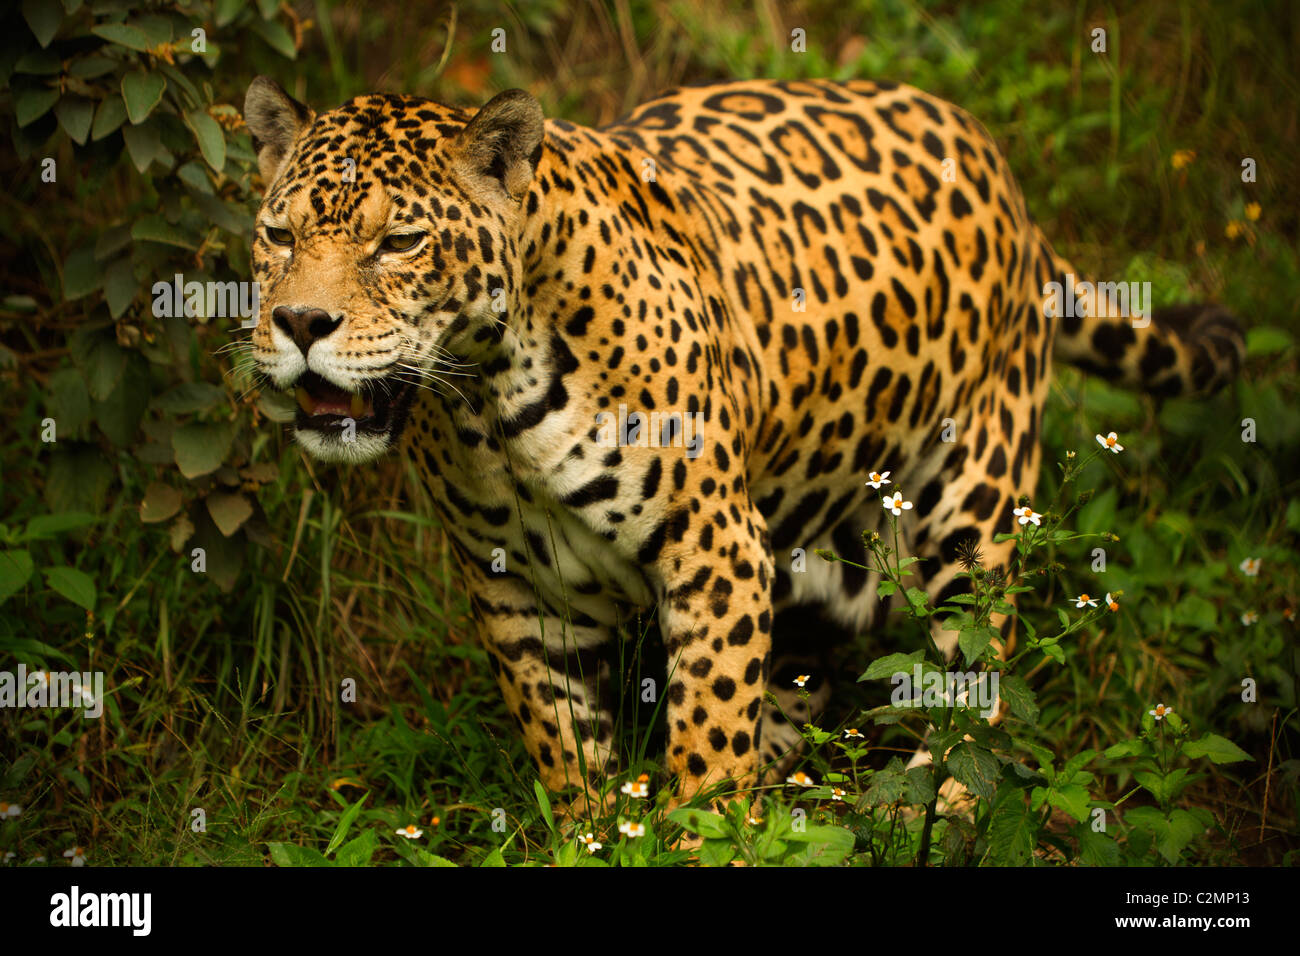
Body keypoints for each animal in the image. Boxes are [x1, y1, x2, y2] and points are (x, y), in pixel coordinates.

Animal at [242, 75, 1242, 813]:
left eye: (400, 242)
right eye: (278, 235)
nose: (299, 322)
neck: (490, 397)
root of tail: (993, 157)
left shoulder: (712, 554)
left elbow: (707, 748)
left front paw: (700, 834)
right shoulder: (517, 589)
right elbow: (567, 753)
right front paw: (596, 833)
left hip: (974, 503)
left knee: (976, 696)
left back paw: (933, 806)